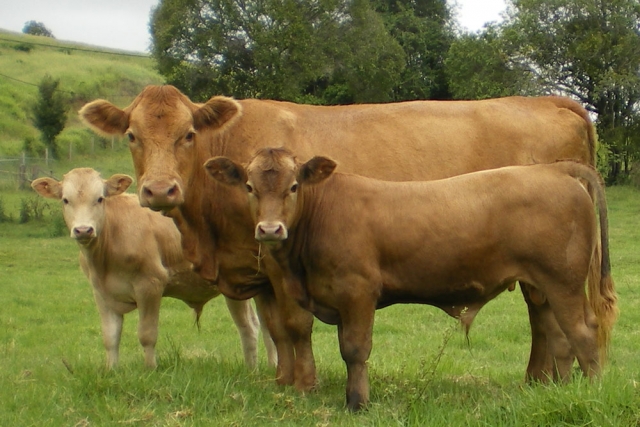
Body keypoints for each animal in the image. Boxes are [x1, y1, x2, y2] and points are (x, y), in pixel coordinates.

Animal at [31, 168, 276, 369]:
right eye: (65, 200)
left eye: (99, 198)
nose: (83, 230)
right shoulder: (101, 293)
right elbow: (110, 337)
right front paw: (112, 371)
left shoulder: (150, 284)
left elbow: (147, 334)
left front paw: (150, 370)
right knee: (265, 324)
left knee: (249, 327)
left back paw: (252, 370)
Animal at [78, 85, 606, 390]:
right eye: (131, 135)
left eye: (188, 133)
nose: (159, 189)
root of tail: (546, 98)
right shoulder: (262, 264)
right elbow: (276, 329)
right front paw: (282, 380)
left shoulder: (280, 264)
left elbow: (295, 326)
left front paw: (305, 384)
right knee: (548, 320)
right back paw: (546, 381)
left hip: (550, 268)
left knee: (551, 318)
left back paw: (547, 381)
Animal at [204, 147, 617, 411]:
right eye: (249, 187)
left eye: (293, 186)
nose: (270, 229)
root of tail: (552, 169)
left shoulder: (358, 291)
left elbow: (355, 349)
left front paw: (357, 403)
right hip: (542, 286)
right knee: (557, 335)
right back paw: (559, 391)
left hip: (563, 282)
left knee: (582, 332)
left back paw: (593, 393)